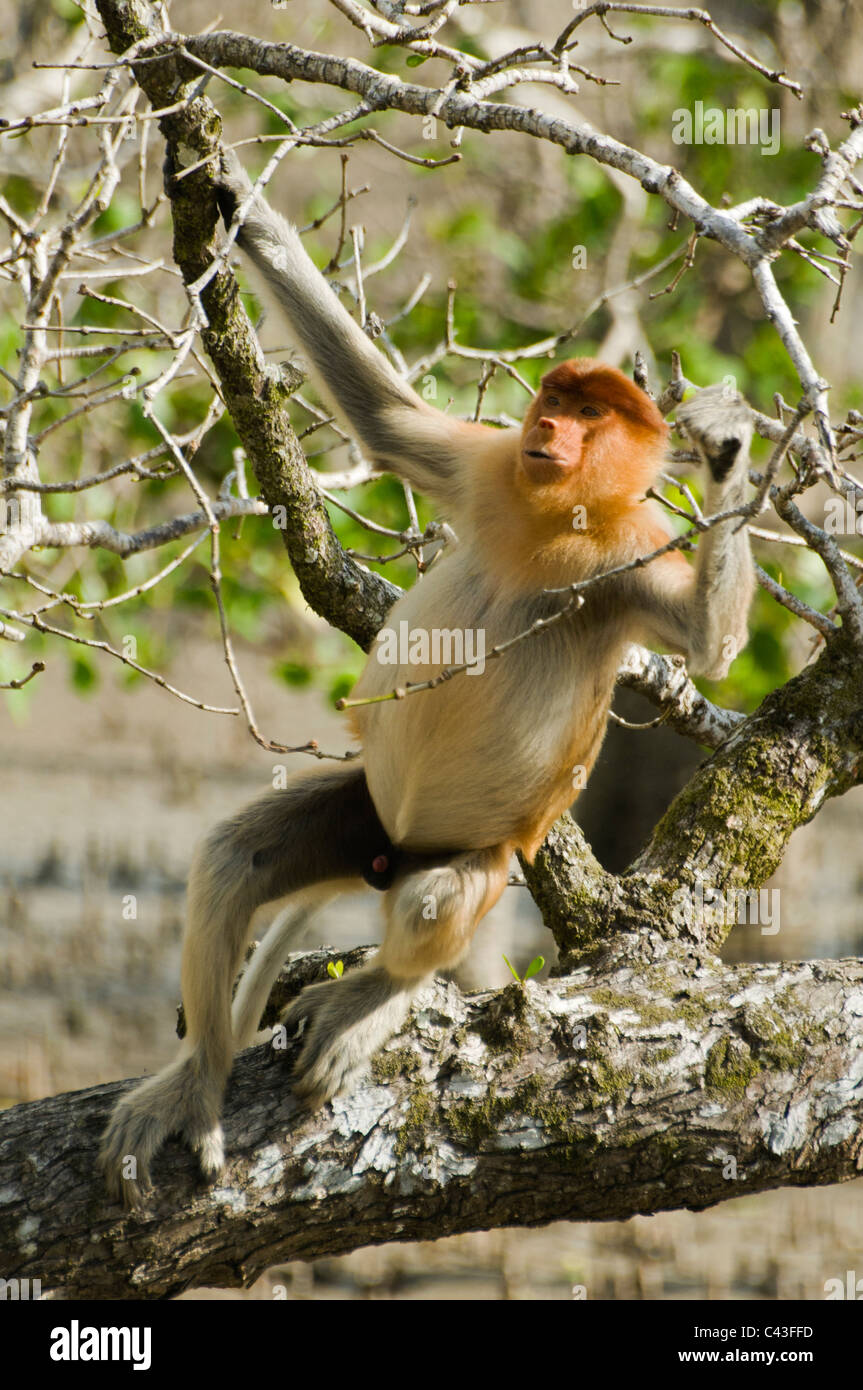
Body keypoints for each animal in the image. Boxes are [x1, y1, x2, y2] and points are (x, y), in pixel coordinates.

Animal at [99, 151, 755, 1204]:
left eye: (592, 416)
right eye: (553, 402)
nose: (549, 429)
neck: (548, 518)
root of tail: (392, 850)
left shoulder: (630, 553)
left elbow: (706, 645)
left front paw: (730, 446)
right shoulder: (489, 466)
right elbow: (388, 424)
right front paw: (237, 198)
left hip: (480, 856)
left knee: (431, 902)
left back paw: (376, 995)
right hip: (363, 810)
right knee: (235, 857)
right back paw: (194, 1082)